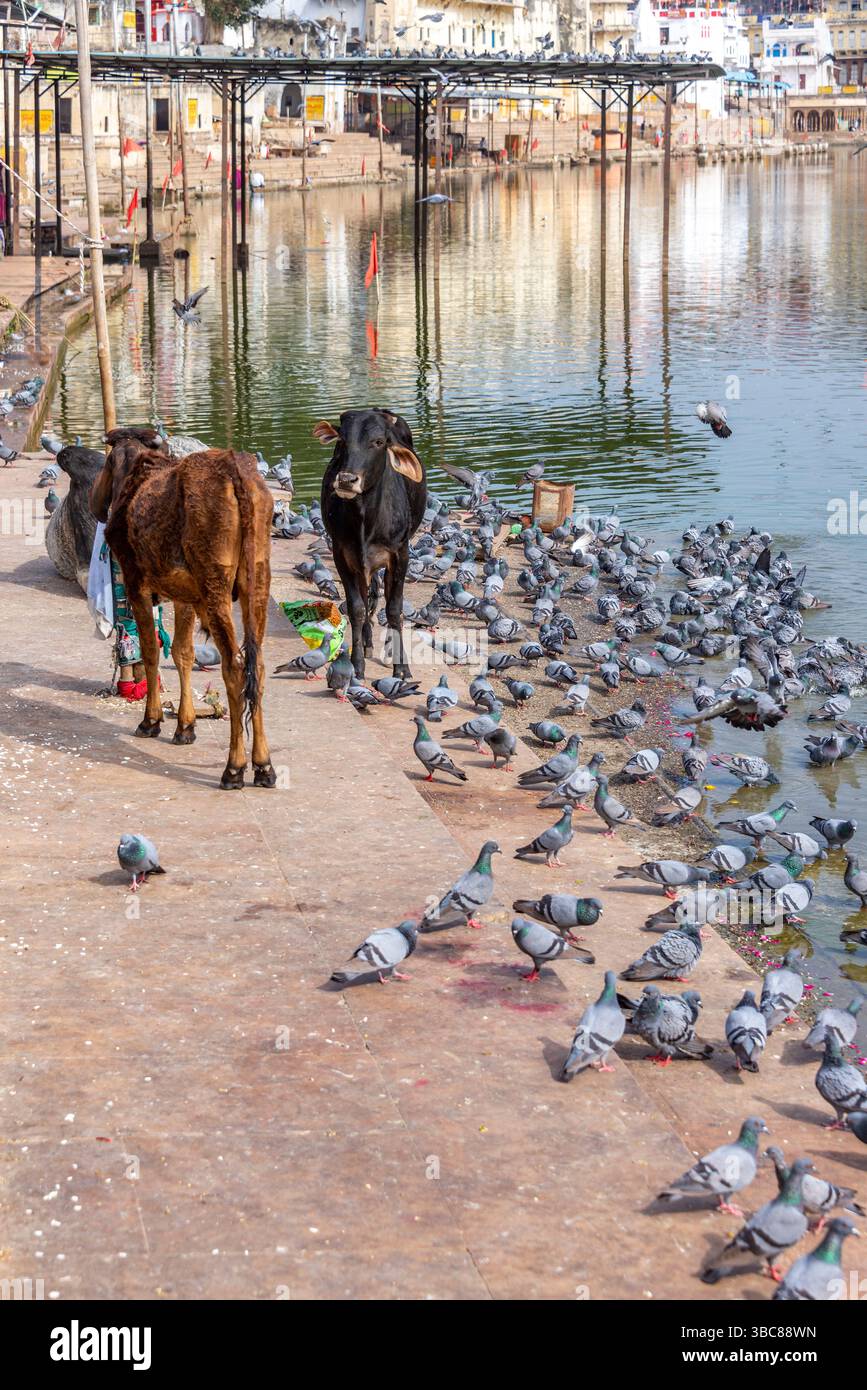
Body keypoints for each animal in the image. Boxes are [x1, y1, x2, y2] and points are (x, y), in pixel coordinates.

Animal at [90, 426, 277, 791]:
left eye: (104, 463)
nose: (96, 504)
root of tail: (237, 472)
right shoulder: (186, 595)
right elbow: (182, 653)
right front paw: (185, 725)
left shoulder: (135, 581)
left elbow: (150, 650)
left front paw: (152, 720)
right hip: (257, 580)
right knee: (257, 666)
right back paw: (263, 765)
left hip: (215, 583)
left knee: (234, 667)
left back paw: (235, 767)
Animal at [314, 409, 426, 679]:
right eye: (342, 440)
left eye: (378, 442)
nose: (346, 480)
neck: (366, 518)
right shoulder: (342, 555)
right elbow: (356, 607)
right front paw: (357, 664)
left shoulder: (400, 555)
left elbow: (394, 610)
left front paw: (401, 668)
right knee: (367, 597)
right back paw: (366, 640)